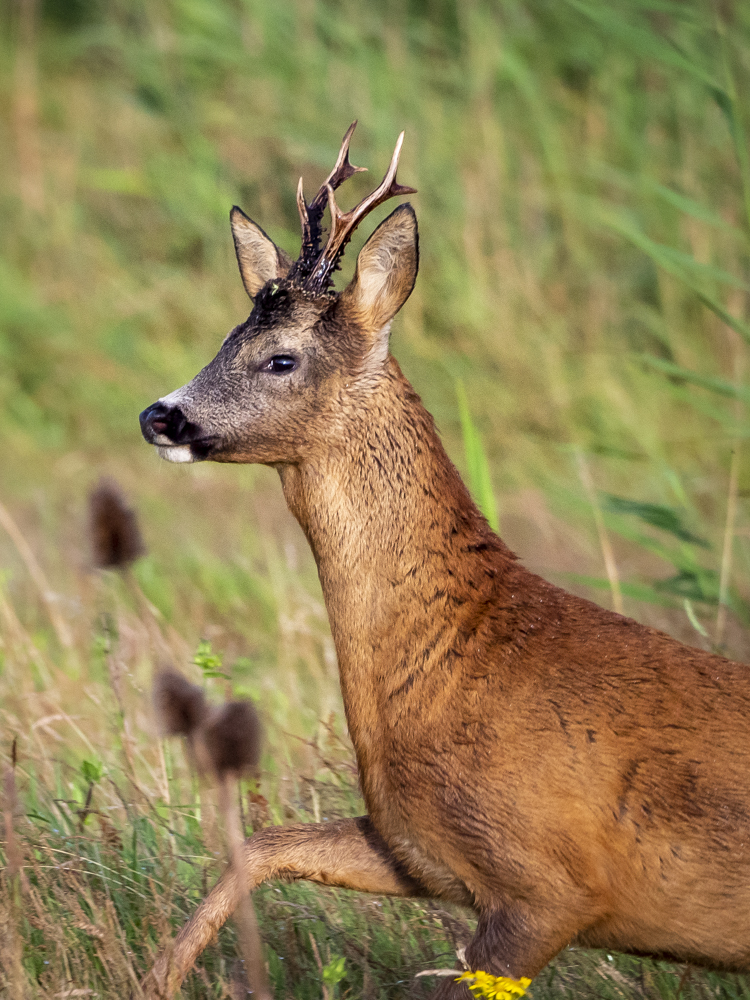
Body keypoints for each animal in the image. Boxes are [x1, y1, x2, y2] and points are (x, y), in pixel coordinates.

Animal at [139, 123, 750, 999]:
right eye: (229, 336)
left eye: (282, 358)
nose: (160, 416)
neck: (457, 650)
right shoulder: (416, 850)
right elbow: (267, 842)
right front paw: (158, 975)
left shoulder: (552, 889)